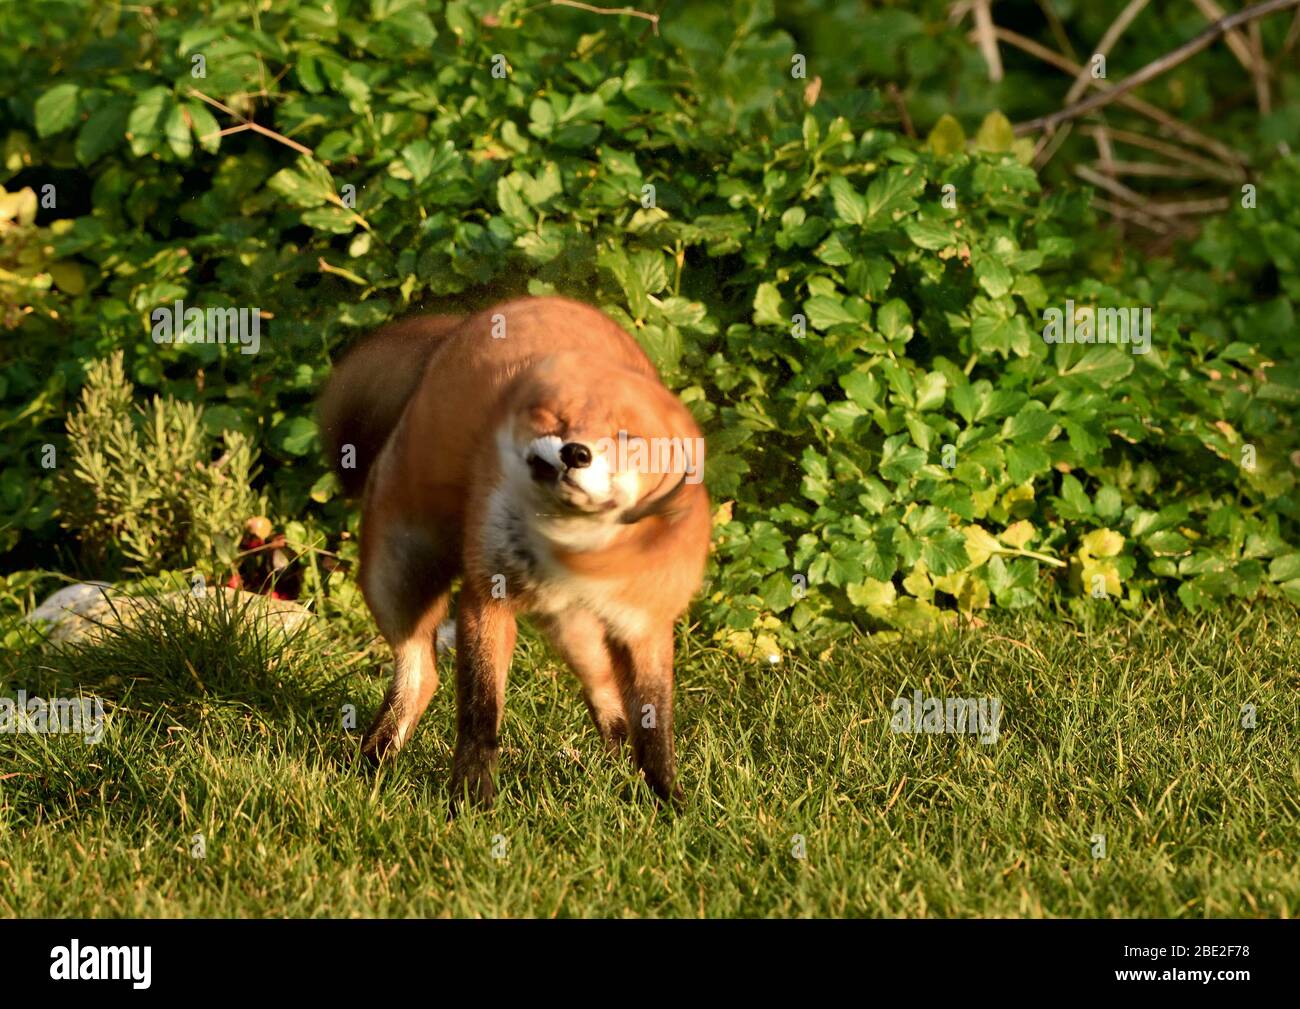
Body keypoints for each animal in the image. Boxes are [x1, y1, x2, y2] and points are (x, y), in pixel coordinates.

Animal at [319, 297, 710, 809]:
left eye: (628, 439)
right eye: (556, 419)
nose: (575, 453)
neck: (572, 549)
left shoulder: (644, 624)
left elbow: (655, 727)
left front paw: (669, 801)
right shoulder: (487, 598)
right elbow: (480, 713)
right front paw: (472, 798)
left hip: (575, 632)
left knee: (604, 687)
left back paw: (612, 750)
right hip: (396, 577)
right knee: (423, 673)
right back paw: (377, 755)